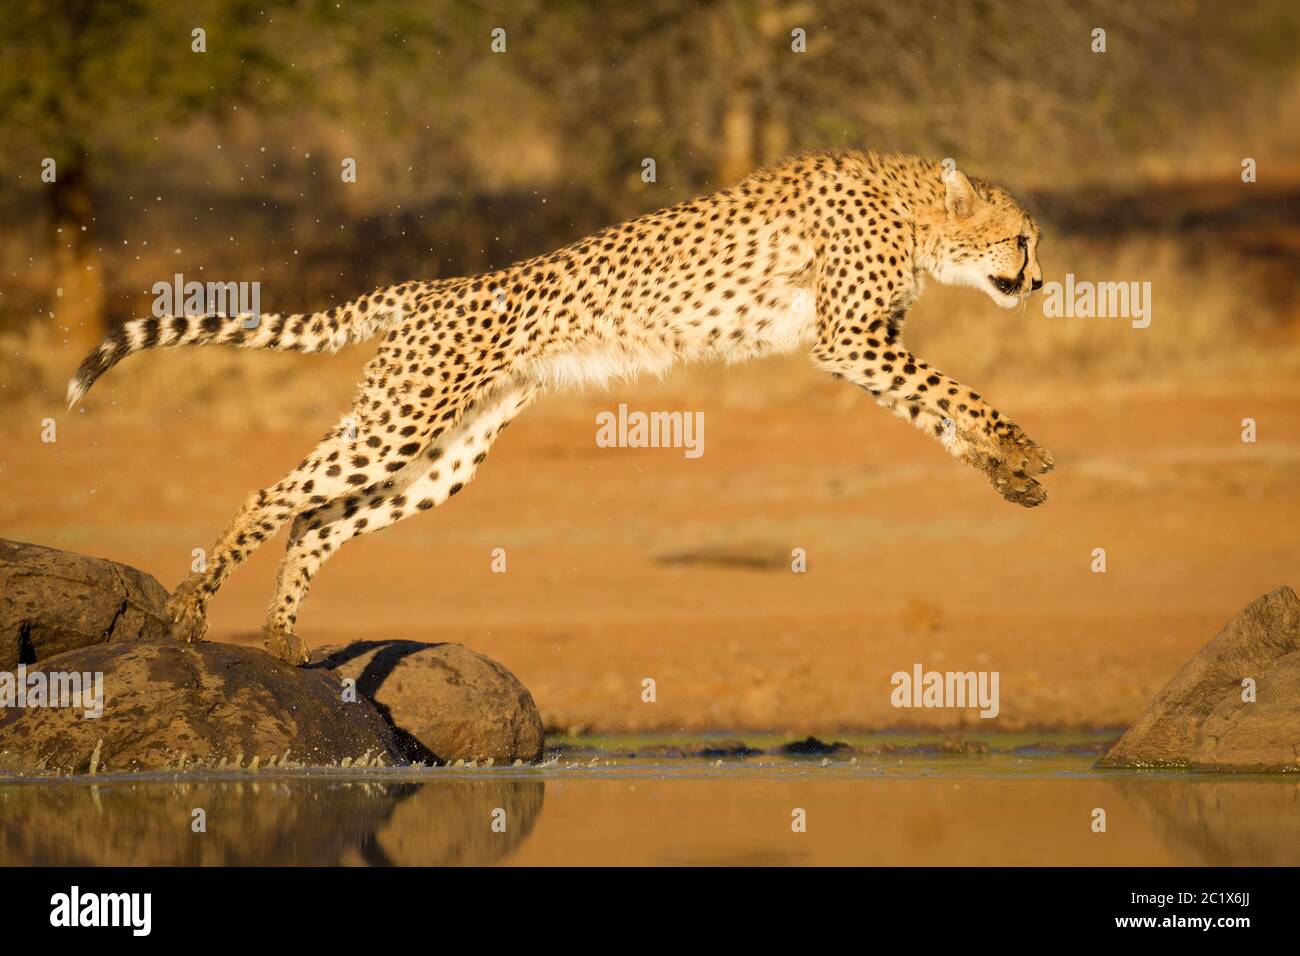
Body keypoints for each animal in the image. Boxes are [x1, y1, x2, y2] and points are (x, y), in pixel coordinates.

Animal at [67, 149, 1052, 665]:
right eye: (1021, 239)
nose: (1041, 280)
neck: (919, 212)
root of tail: (431, 286)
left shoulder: (860, 345)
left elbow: (936, 413)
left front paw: (1009, 471)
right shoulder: (847, 336)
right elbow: (952, 391)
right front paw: (1019, 445)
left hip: (440, 454)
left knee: (317, 519)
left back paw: (278, 638)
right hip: (400, 425)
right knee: (273, 496)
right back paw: (192, 609)